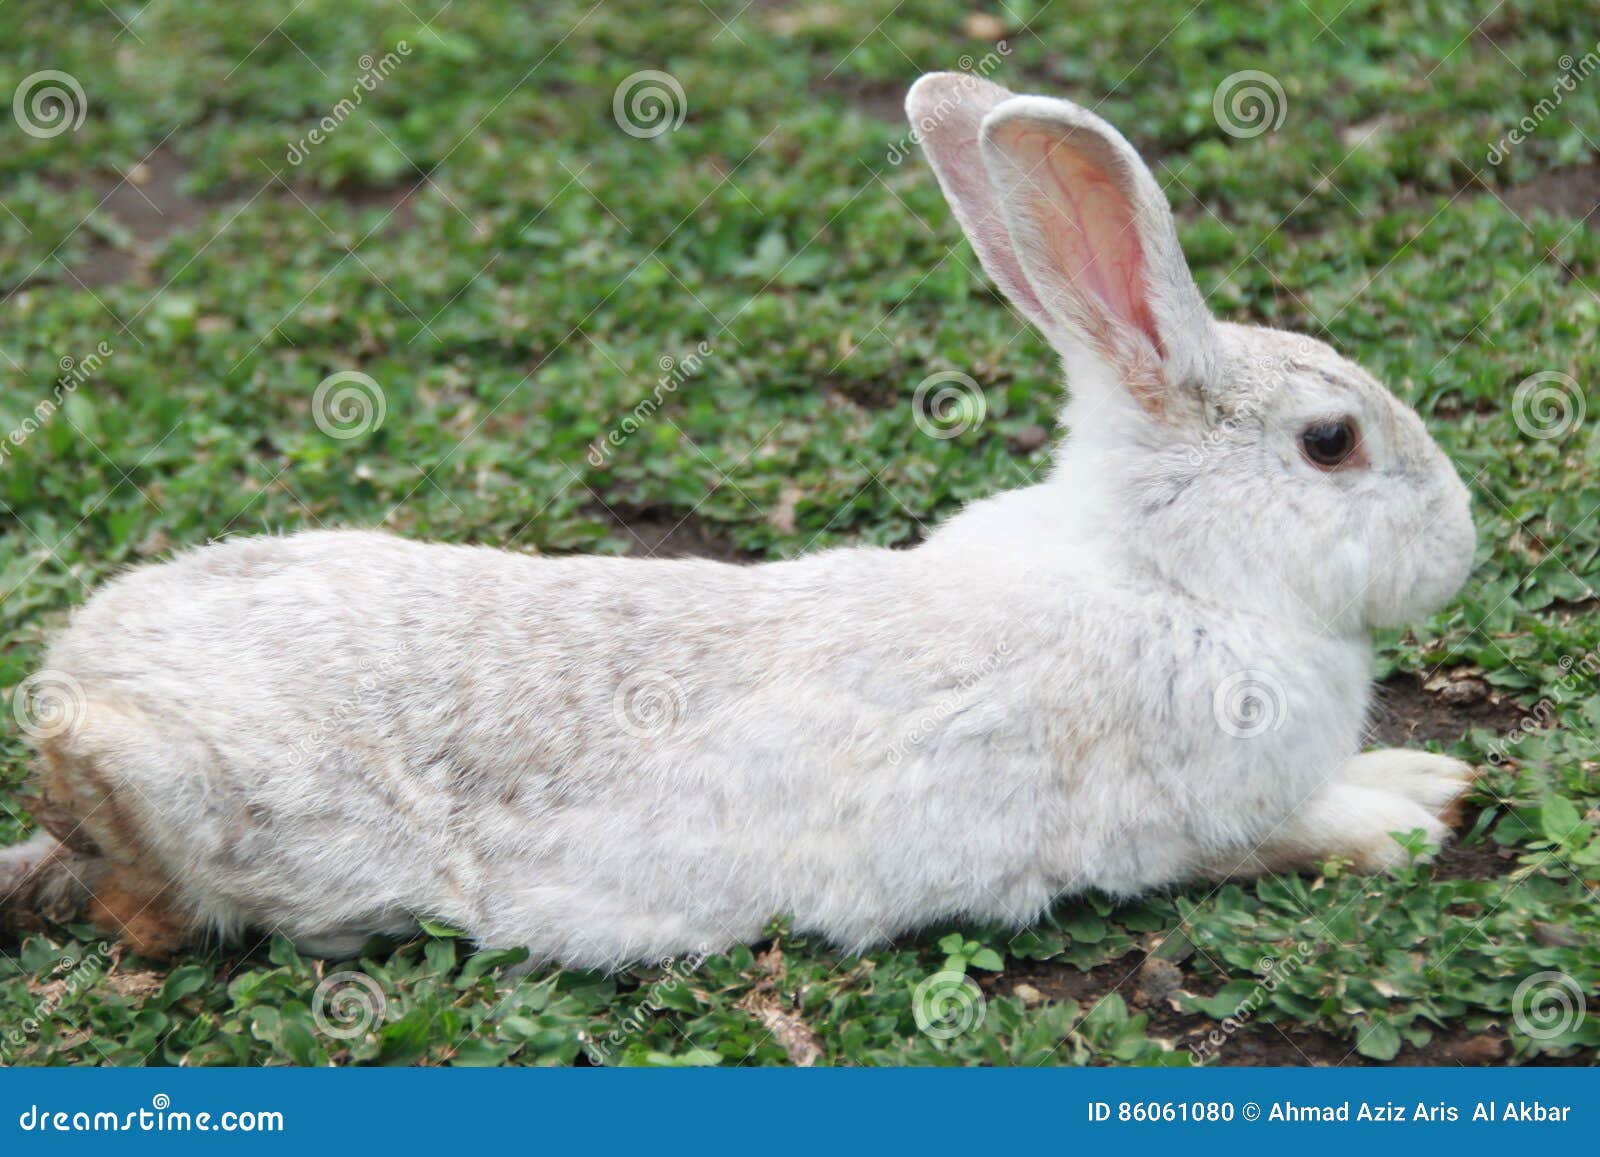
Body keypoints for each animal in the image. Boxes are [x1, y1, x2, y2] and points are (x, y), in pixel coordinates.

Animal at [1, 73, 1477, 971]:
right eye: (1332, 442)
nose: (1460, 545)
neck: (1170, 575)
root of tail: (78, 688)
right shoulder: (1182, 820)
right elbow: (1283, 830)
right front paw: (1406, 816)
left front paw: (1428, 776)